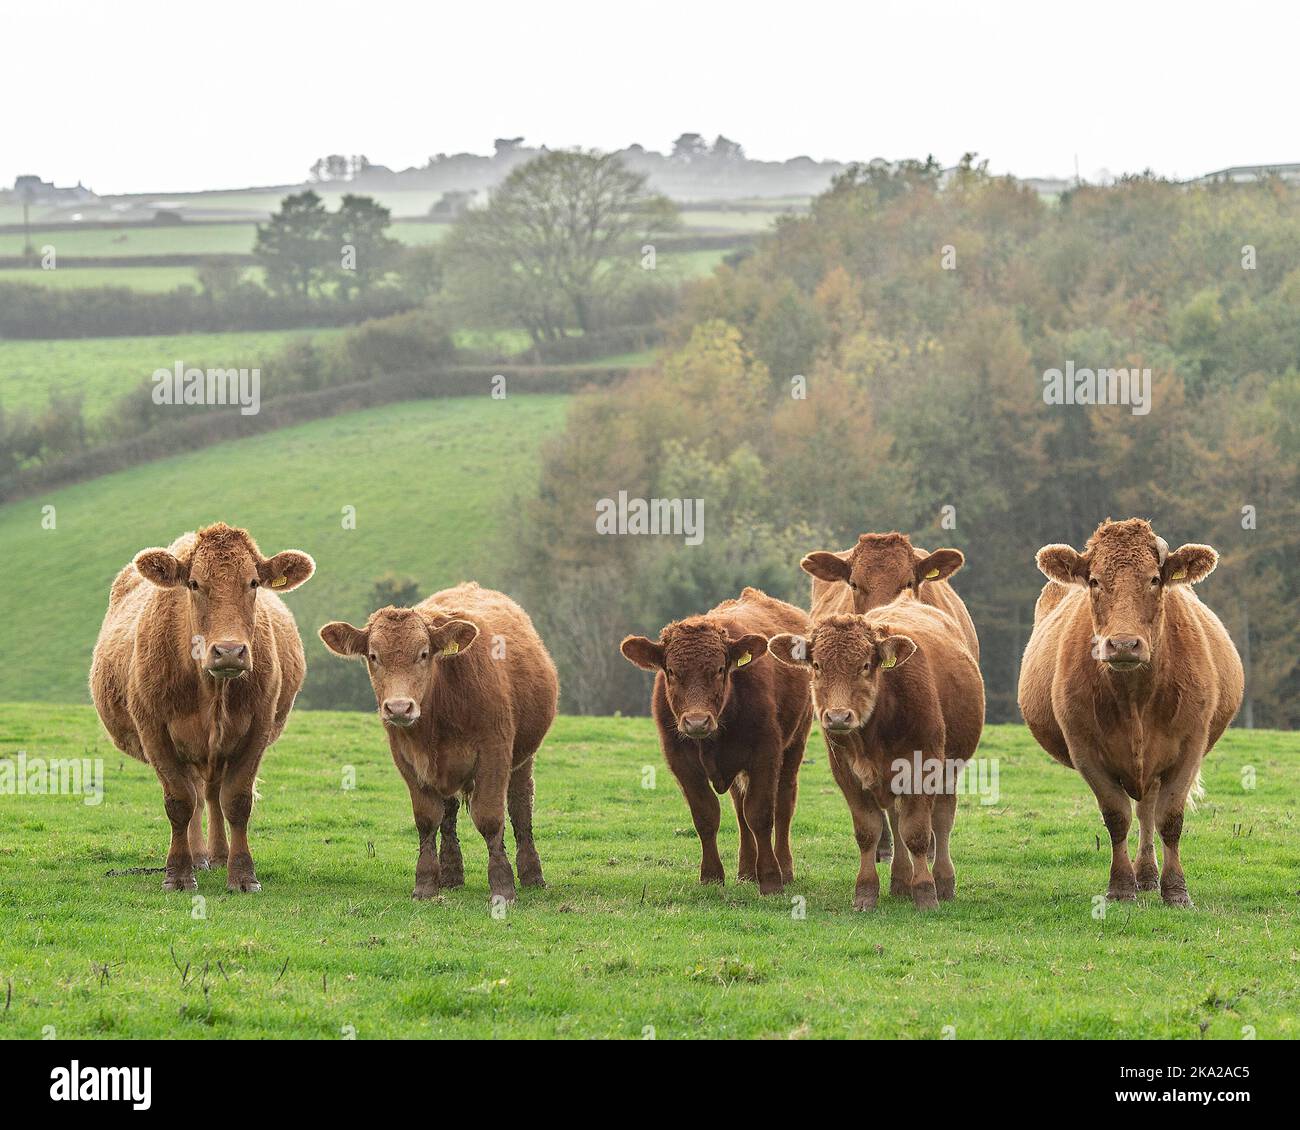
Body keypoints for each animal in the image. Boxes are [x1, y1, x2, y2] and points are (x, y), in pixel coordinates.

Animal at [89, 523, 315, 893]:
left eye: (254, 582)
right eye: (194, 583)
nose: (229, 651)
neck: (211, 689)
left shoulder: (257, 729)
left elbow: (236, 800)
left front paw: (242, 875)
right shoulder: (154, 731)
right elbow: (179, 802)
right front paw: (178, 874)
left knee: (211, 794)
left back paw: (218, 855)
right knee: (195, 794)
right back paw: (197, 857)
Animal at [319, 582, 558, 903]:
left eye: (423, 653)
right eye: (373, 655)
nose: (398, 707)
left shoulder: (494, 753)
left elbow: (490, 818)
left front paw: (502, 885)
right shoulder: (406, 759)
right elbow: (427, 819)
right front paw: (426, 883)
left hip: (523, 758)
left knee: (520, 808)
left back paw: (532, 874)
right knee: (449, 812)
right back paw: (451, 874)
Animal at [620, 587, 813, 895]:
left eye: (721, 669)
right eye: (671, 671)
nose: (697, 721)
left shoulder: (766, 754)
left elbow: (761, 815)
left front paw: (771, 879)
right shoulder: (681, 762)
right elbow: (706, 815)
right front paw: (711, 875)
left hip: (795, 744)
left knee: (783, 805)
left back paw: (785, 869)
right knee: (740, 811)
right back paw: (746, 871)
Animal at [769, 602, 984, 911]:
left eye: (865, 665)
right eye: (817, 665)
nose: (838, 716)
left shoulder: (923, 770)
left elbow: (917, 833)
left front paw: (926, 893)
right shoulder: (846, 774)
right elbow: (869, 831)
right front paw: (866, 892)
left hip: (948, 772)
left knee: (942, 822)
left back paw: (943, 881)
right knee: (895, 819)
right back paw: (900, 881)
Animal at [1017, 518, 1244, 907]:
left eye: (1154, 579)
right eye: (1094, 581)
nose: (1123, 644)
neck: (1135, 696)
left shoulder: (1190, 746)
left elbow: (1170, 818)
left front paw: (1176, 891)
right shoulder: (1085, 749)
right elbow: (1116, 816)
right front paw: (1122, 886)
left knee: (1149, 811)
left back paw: (1150, 876)